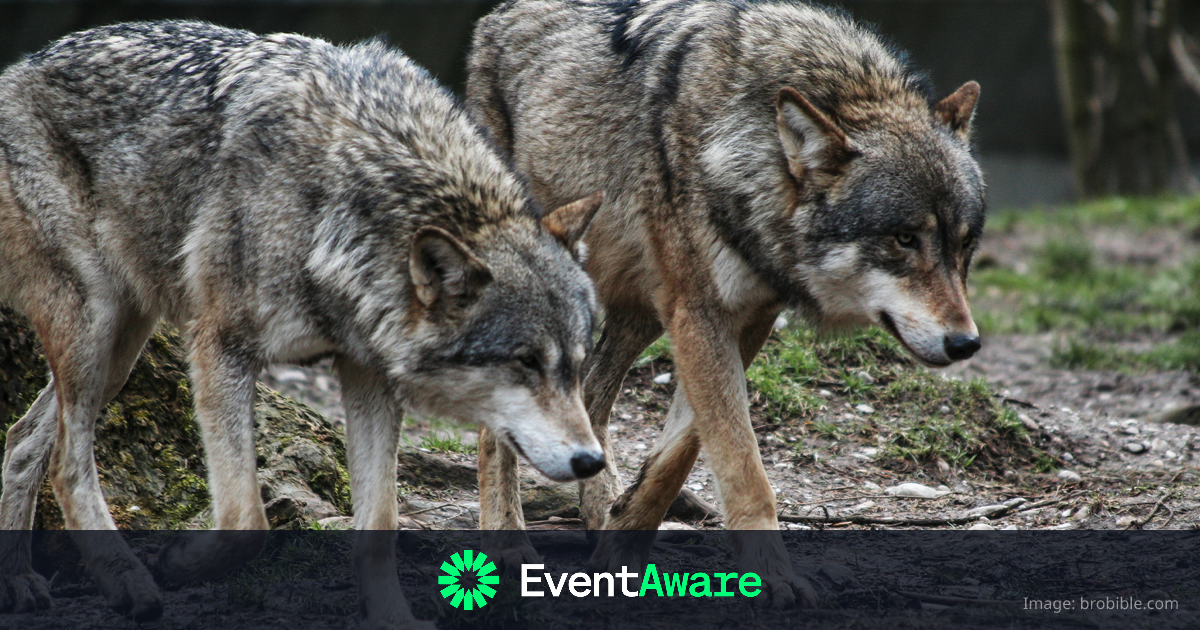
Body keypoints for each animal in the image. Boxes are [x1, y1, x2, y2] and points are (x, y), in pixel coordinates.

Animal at [0, 21, 605, 628]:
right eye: (526, 362)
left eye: (577, 366)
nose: (592, 461)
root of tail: (18, 66)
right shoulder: (218, 346)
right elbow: (247, 519)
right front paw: (180, 563)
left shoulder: (367, 373)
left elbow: (380, 524)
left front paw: (390, 616)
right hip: (95, 326)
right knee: (67, 462)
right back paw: (128, 583)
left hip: (122, 349)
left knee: (23, 439)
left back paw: (22, 581)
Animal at [468, 0, 985, 607]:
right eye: (905, 239)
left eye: (964, 244)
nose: (966, 343)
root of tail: (497, 16)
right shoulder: (700, 313)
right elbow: (744, 468)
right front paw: (774, 577)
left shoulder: (747, 317)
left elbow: (682, 453)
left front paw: (622, 539)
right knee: (498, 422)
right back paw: (507, 542)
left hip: (638, 312)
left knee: (591, 399)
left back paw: (595, 517)